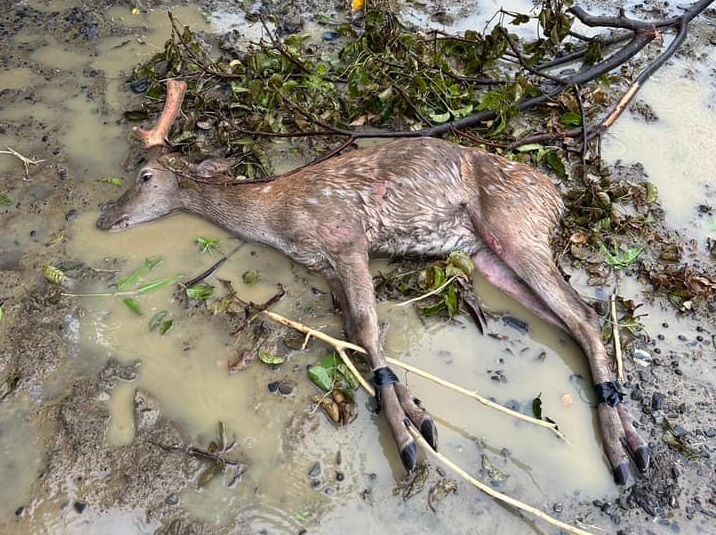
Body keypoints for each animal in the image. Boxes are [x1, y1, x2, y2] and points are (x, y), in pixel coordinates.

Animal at [97, 80, 650, 485]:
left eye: (145, 175)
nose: (104, 219)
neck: (276, 217)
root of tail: (556, 198)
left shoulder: (345, 238)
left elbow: (366, 325)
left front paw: (405, 439)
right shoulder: (326, 266)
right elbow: (352, 328)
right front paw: (418, 413)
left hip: (518, 230)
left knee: (583, 314)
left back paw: (626, 452)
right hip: (492, 260)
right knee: (579, 319)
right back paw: (626, 433)